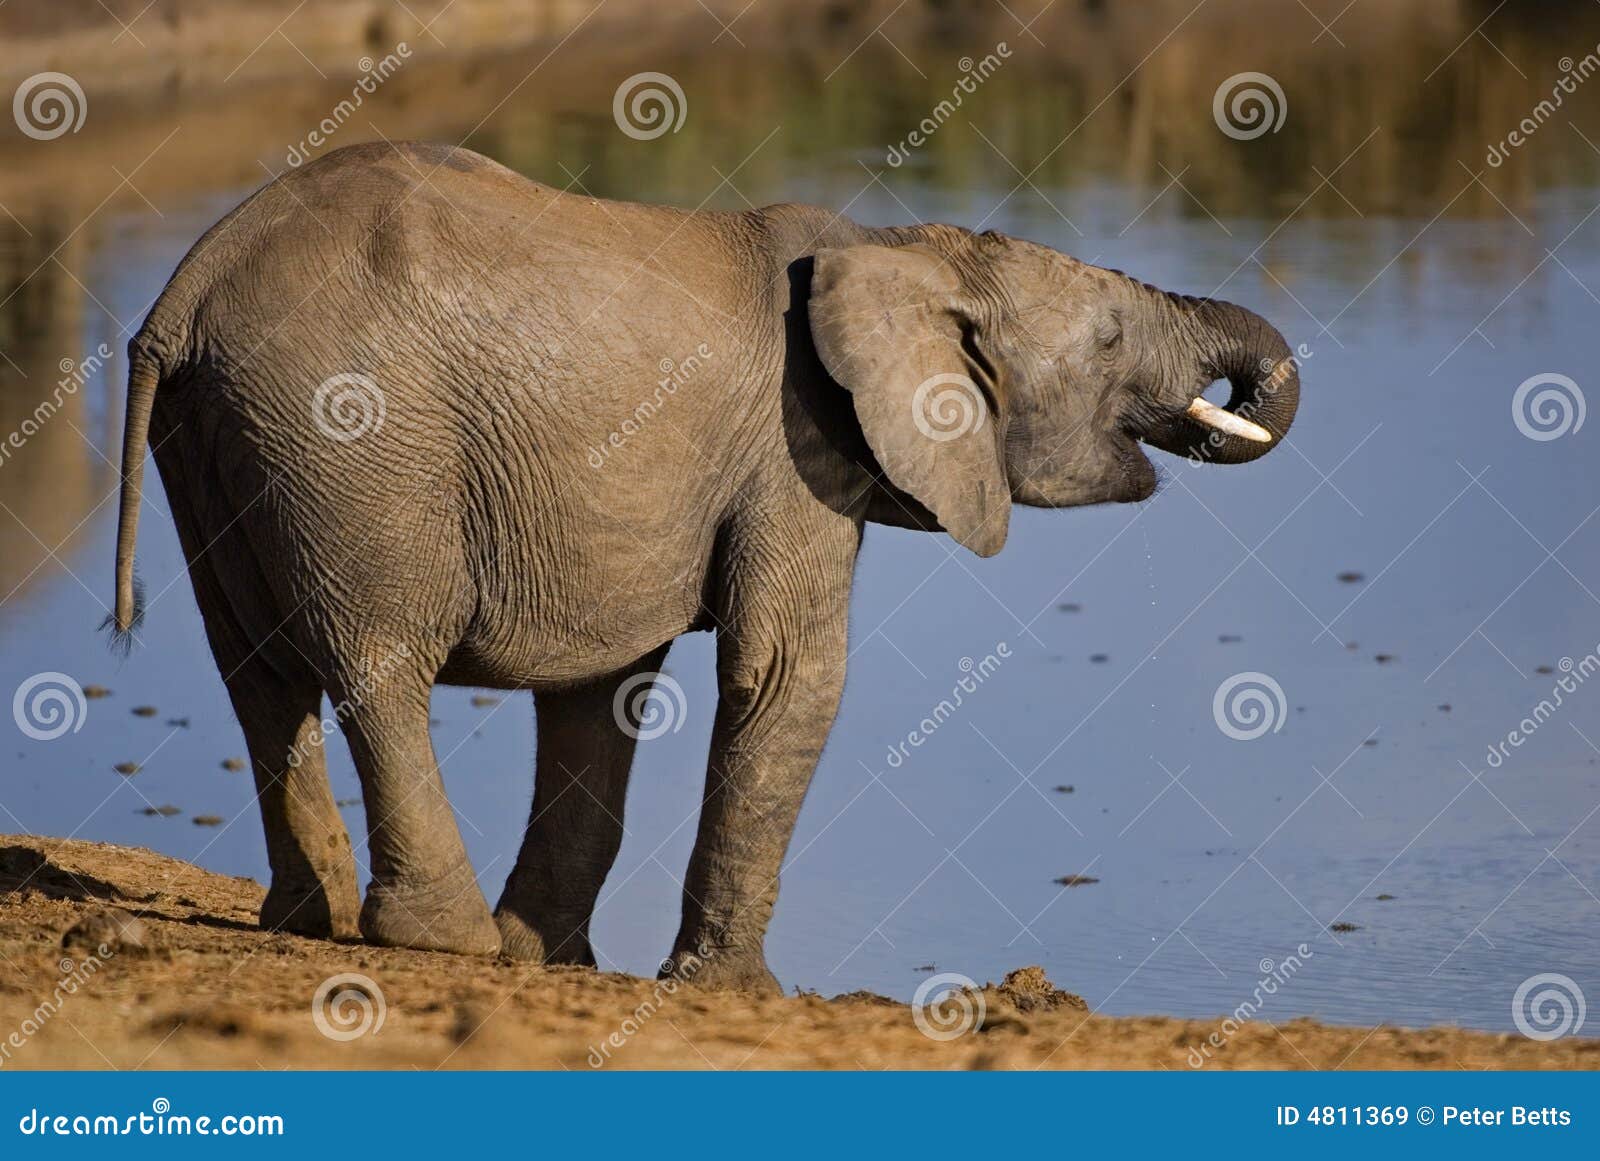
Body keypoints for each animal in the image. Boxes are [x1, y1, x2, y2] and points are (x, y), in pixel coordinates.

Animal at [108, 141, 1300, 992]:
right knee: (376, 664)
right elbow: (788, 677)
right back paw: (442, 943)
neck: (901, 245)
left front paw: (558, 962)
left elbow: (599, 690)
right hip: (349, 444)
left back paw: (311, 920)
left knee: (256, 673)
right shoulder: (795, 452)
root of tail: (186, 294)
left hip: (224, 440)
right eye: (1108, 343)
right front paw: (731, 991)